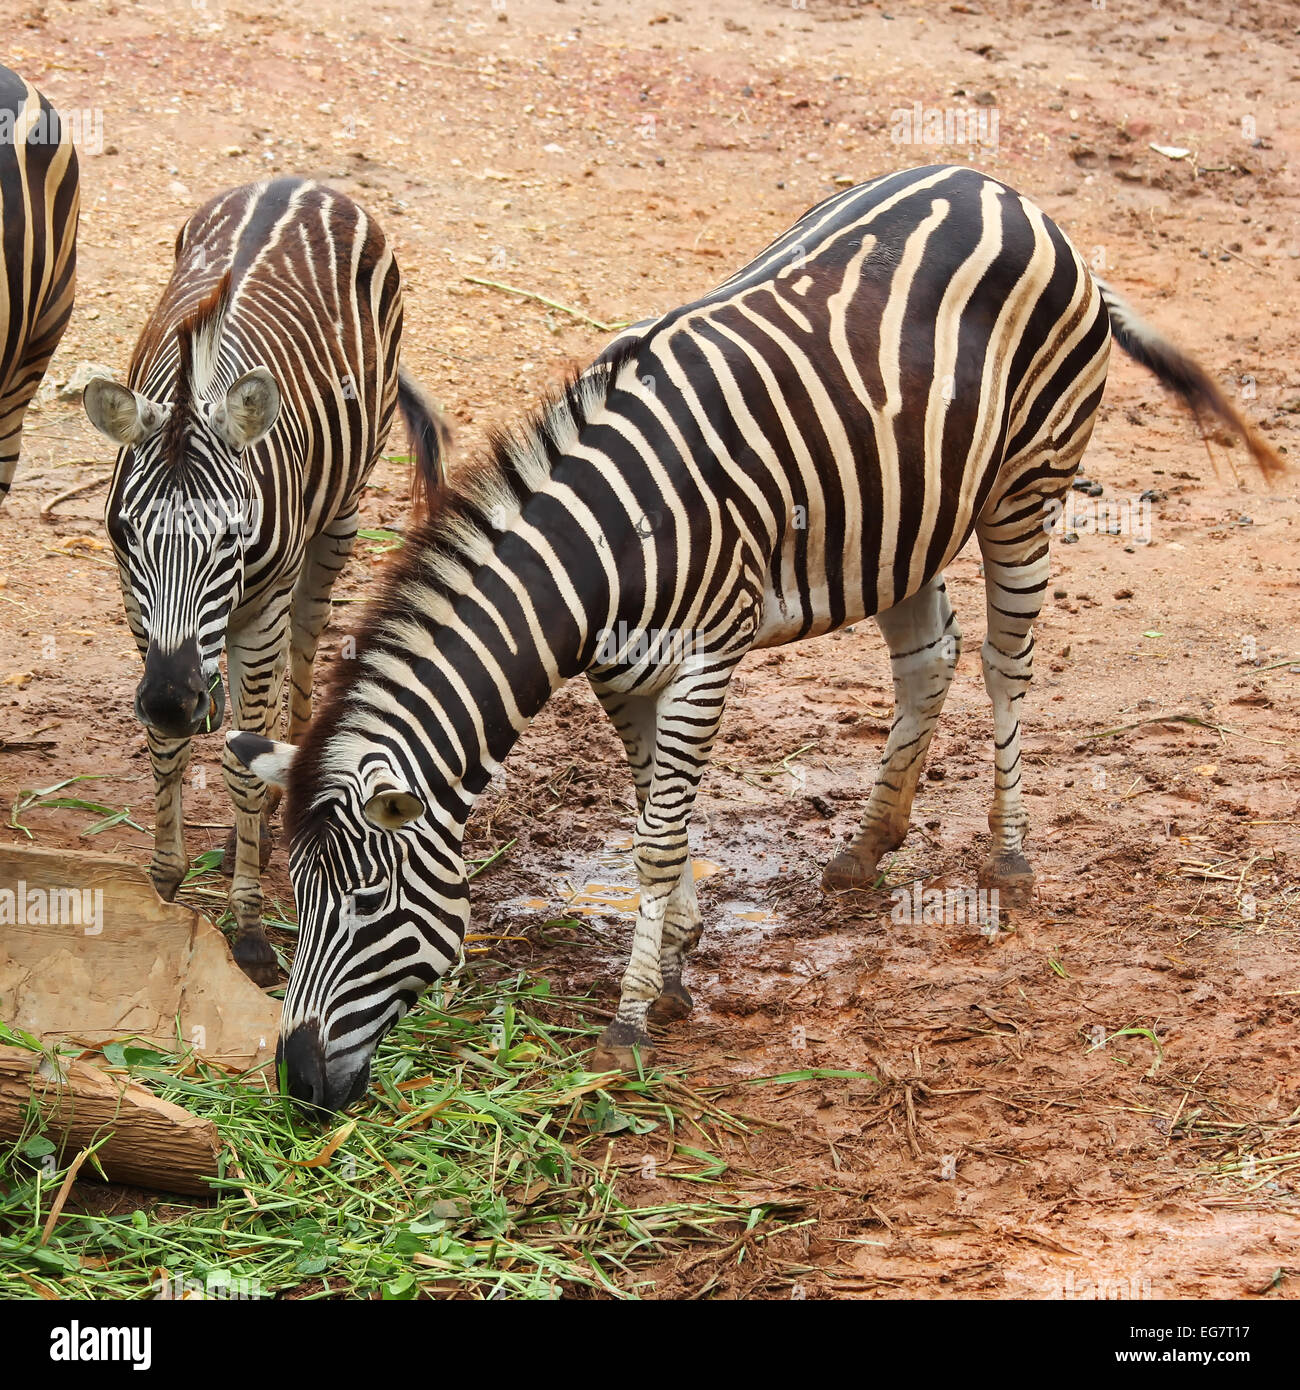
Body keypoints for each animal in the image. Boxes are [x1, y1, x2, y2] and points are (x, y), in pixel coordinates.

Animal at [82, 177, 446, 986]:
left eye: (231, 536)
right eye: (126, 535)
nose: (171, 699)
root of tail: (300, 181)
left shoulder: (257, 604)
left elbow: (244, 769)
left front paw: (247, 930)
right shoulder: (138, 610)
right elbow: (169, 753)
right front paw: (164, 889)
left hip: (337, 519)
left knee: (305, 650)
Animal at [229, 163, 1282, 1109]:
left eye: (367, 906)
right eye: (299, 901)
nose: (301, 1085)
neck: (607, 545)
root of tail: (1010, 193)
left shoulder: (707, 655)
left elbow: (656, 841)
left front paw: (630, 1021)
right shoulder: (623, 672)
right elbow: (653, 810)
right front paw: (677, 961)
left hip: (1030, 485)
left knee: (1004, 663)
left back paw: (1011, 855)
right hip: (899, 516)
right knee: (928, 658)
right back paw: (868, 843)